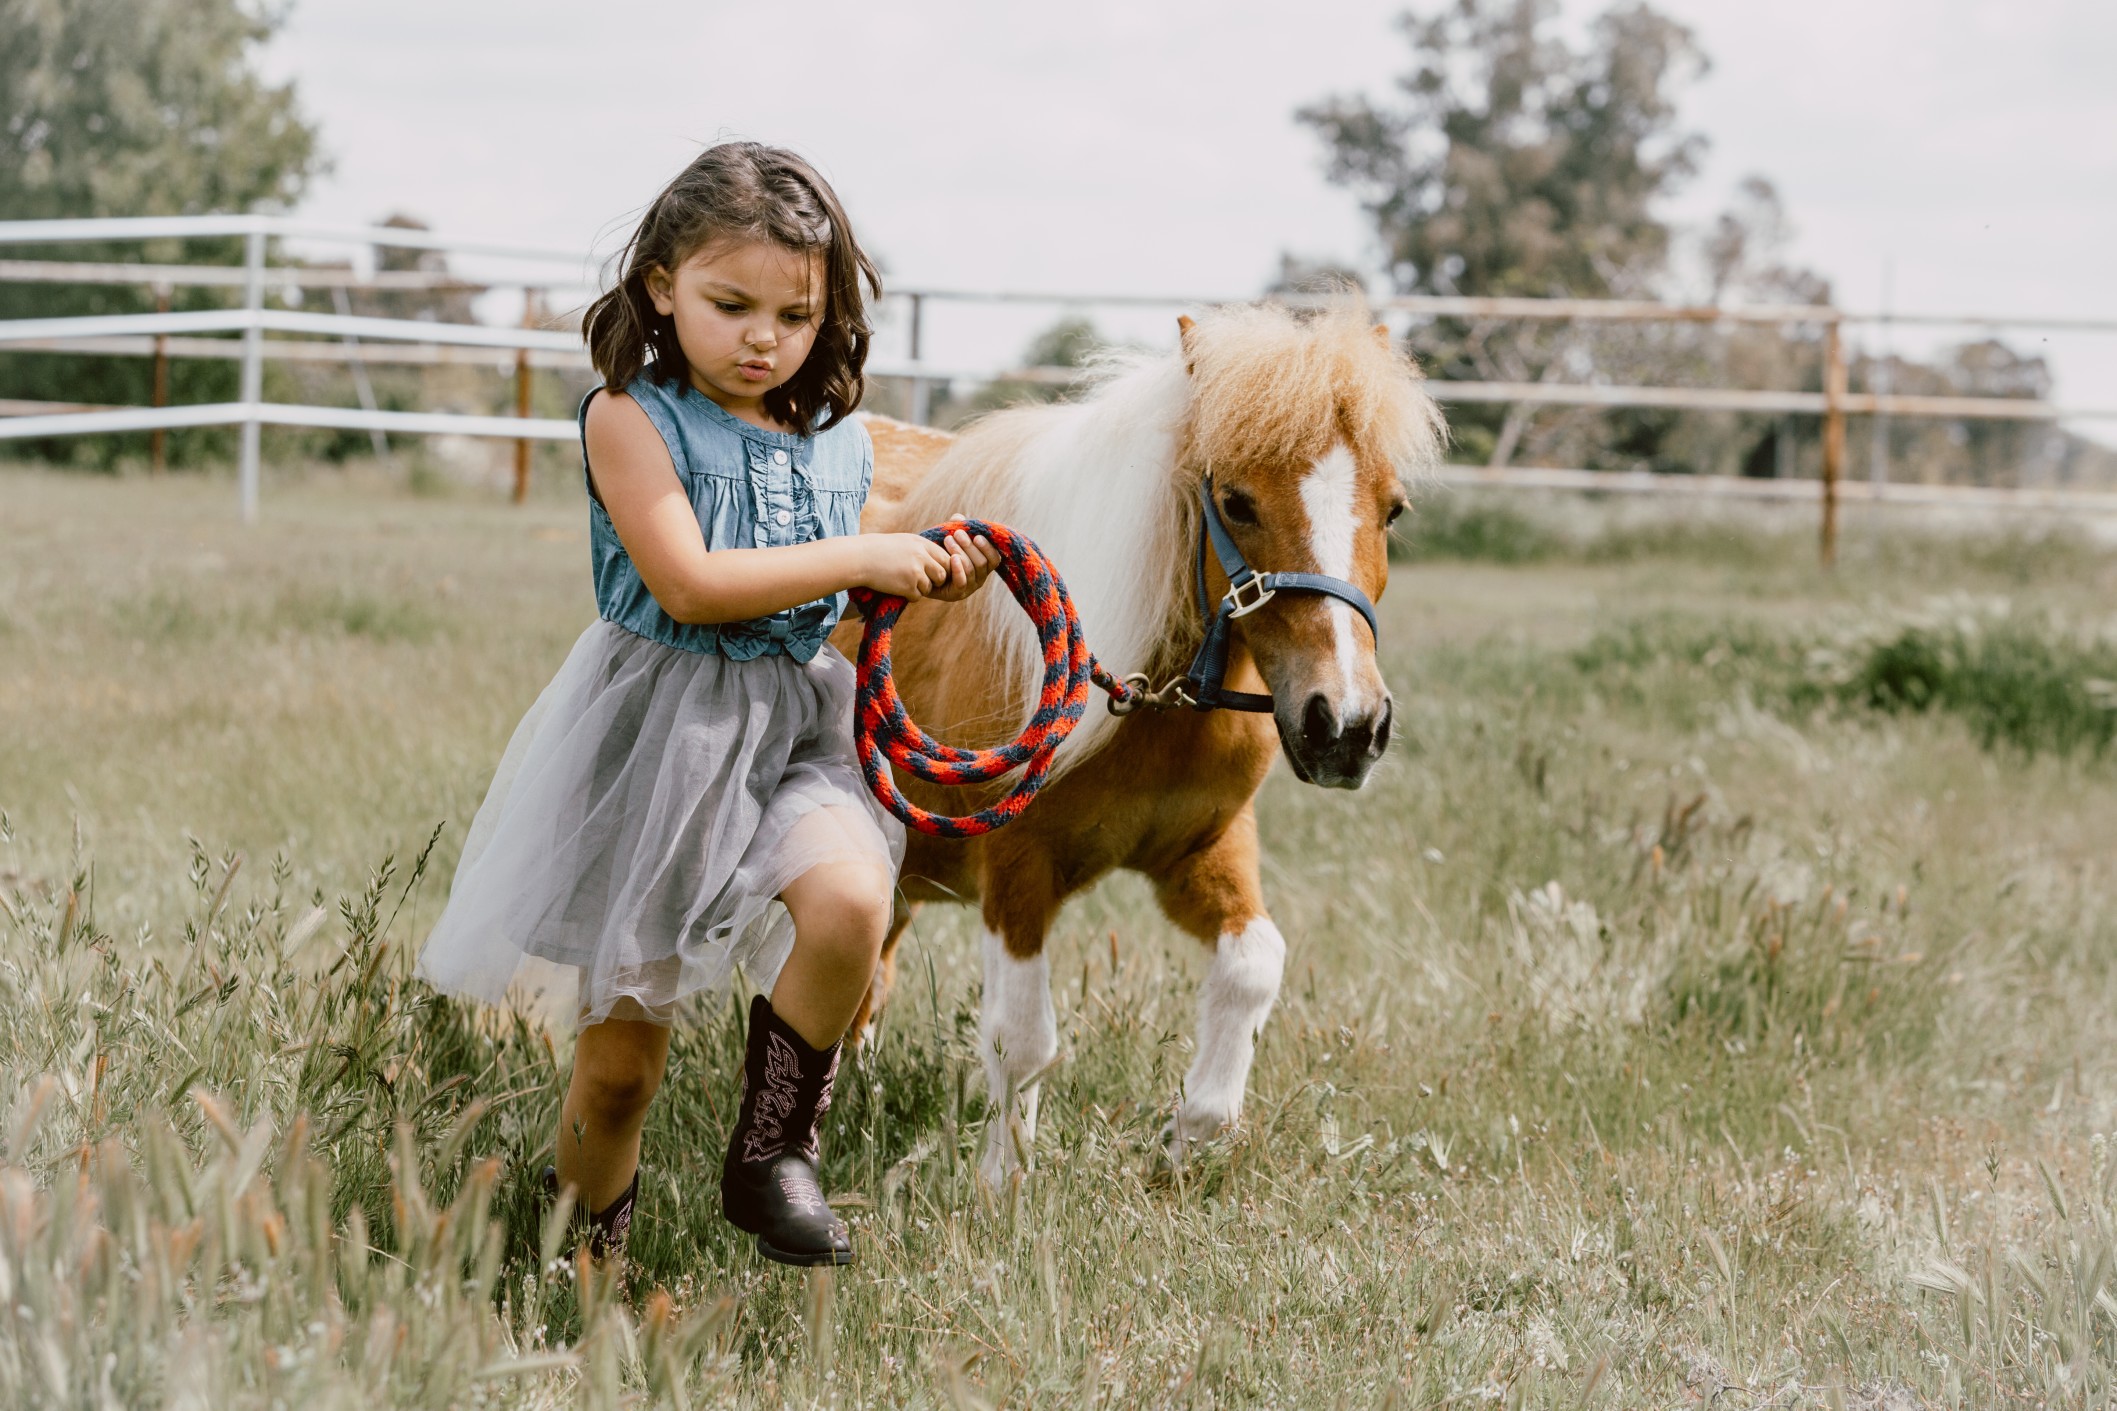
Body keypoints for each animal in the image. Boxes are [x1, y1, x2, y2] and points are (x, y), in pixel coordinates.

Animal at [832, 302, 1445, 1186]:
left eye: (1392, 508)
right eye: (1236, 501)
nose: (1346, 726)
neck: (1145, 701)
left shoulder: (1203, 852)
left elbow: (1252, 966)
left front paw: (1188, 1137)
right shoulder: (1015, 871)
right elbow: (1022, 1038)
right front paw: (1001, 1183)